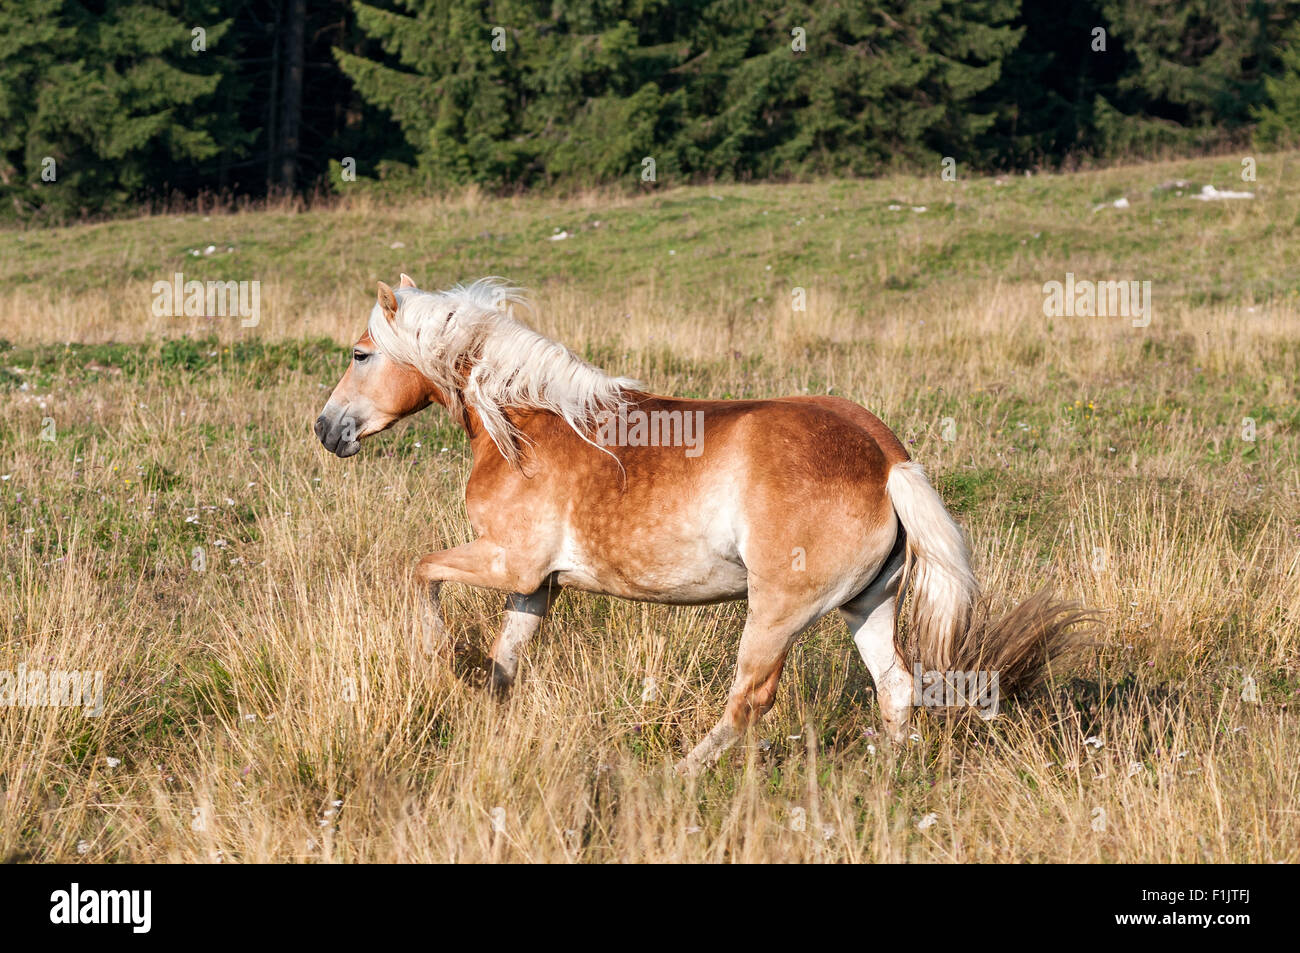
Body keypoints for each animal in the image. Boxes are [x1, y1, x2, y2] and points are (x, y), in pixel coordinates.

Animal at [315, 275, 1091, 774]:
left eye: (360, 353)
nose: (326, 429)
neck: (528, 425)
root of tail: (884, 455)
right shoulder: (538, 585)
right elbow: (509, 655)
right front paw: (486, 710)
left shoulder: (510, 560)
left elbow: (420, 571)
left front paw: (441, 660)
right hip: (867, 605)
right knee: (896, 687)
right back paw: (893, 783)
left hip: (775, 611)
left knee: (750, 700)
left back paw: (681, 772)